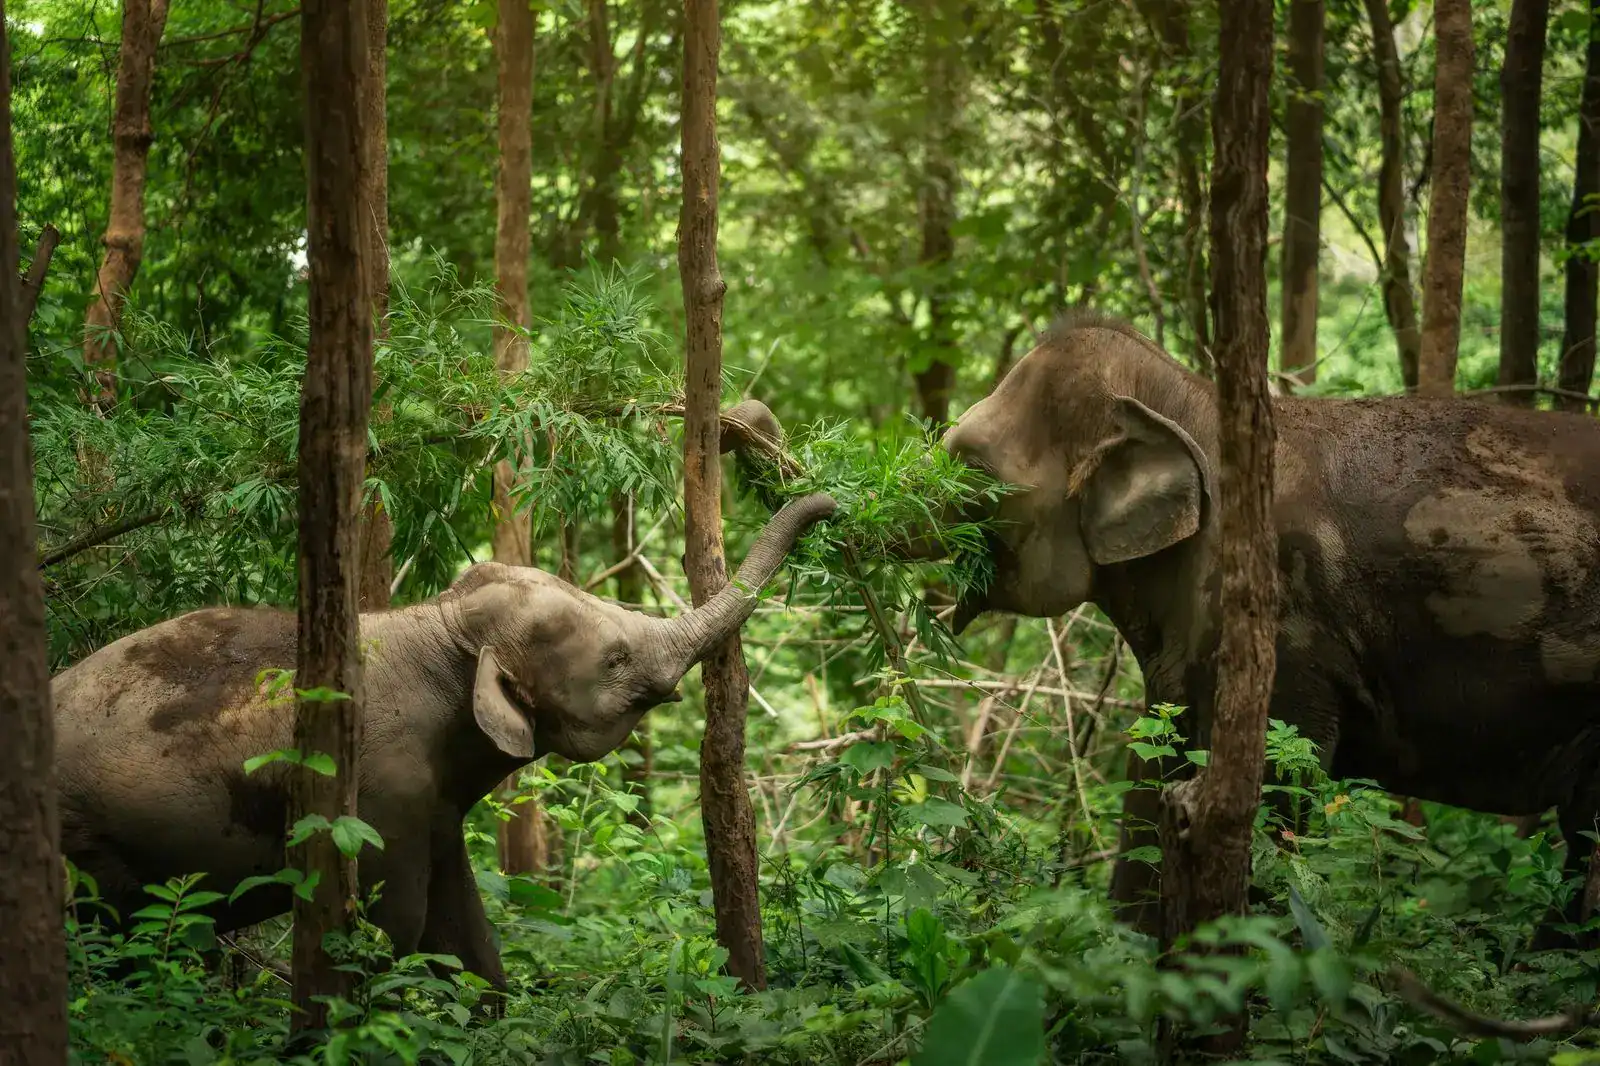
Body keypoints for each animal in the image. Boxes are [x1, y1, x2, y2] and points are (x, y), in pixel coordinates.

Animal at [52, 491, 837, 990]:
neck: (438, 623)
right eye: (615, 659)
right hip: (91, 844)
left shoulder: (433, 809)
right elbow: (395, 926)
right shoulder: (380, 794)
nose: (831, 503)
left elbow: (465, 929)